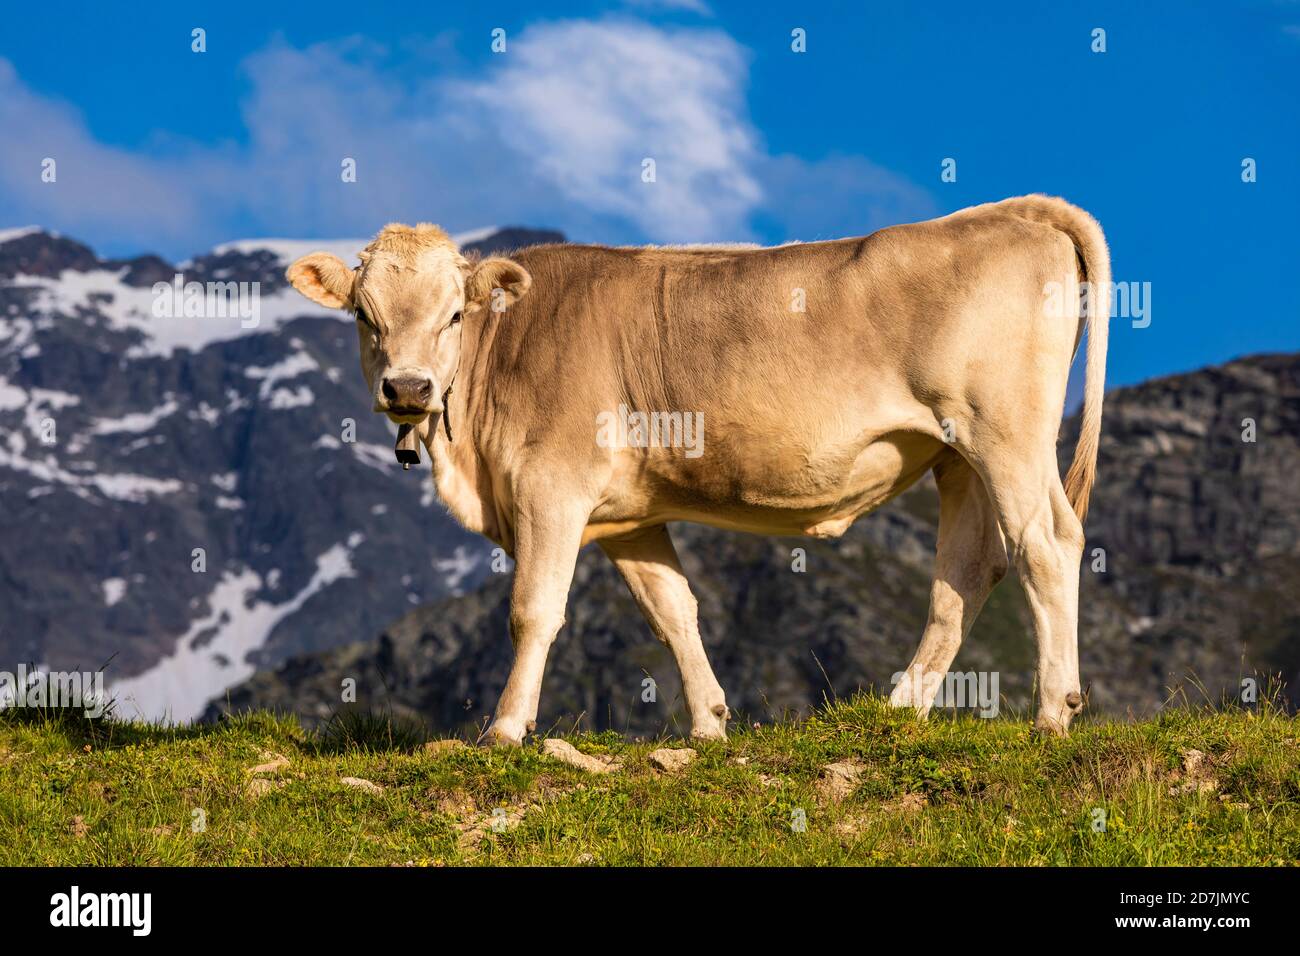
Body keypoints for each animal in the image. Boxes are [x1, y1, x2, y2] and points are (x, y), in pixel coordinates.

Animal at [286, 194, 1109, 746]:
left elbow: (534, 610)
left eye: (455, 313)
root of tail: (1010, 213)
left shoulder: (551, 488)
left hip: (1004, 434)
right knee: (966, 573)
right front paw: (711, 725)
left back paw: (1052, 712)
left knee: (1045, 546)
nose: (408, 389)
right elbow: (673, 611)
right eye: (364, 314)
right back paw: (902, 707)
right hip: (957, 456)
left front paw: (506, 729)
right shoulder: (630, 514)